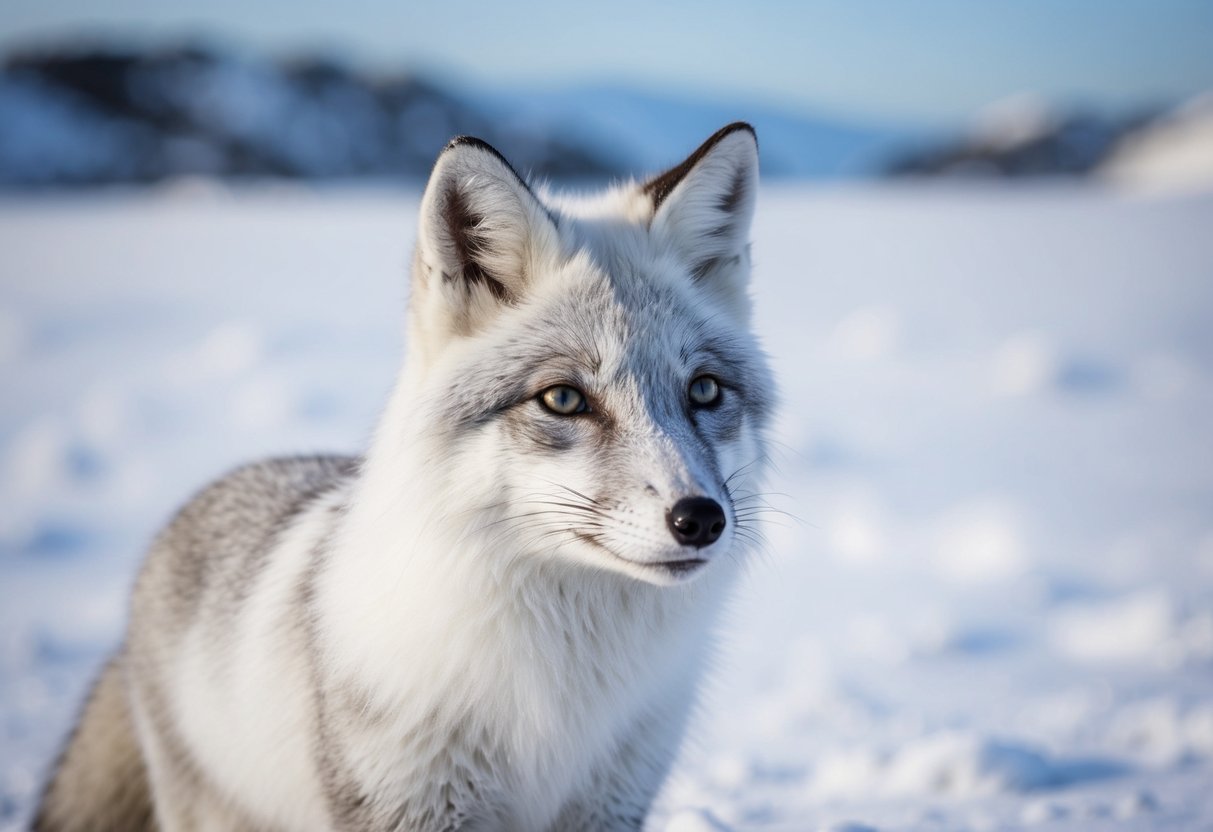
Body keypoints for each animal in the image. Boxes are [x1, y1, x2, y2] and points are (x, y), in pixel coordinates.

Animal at [34, 122, 774, 831]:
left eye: (704, 391)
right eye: (563, 399)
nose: (700, 519)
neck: (557, 690)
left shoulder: (611, 801)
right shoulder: (404, 802)